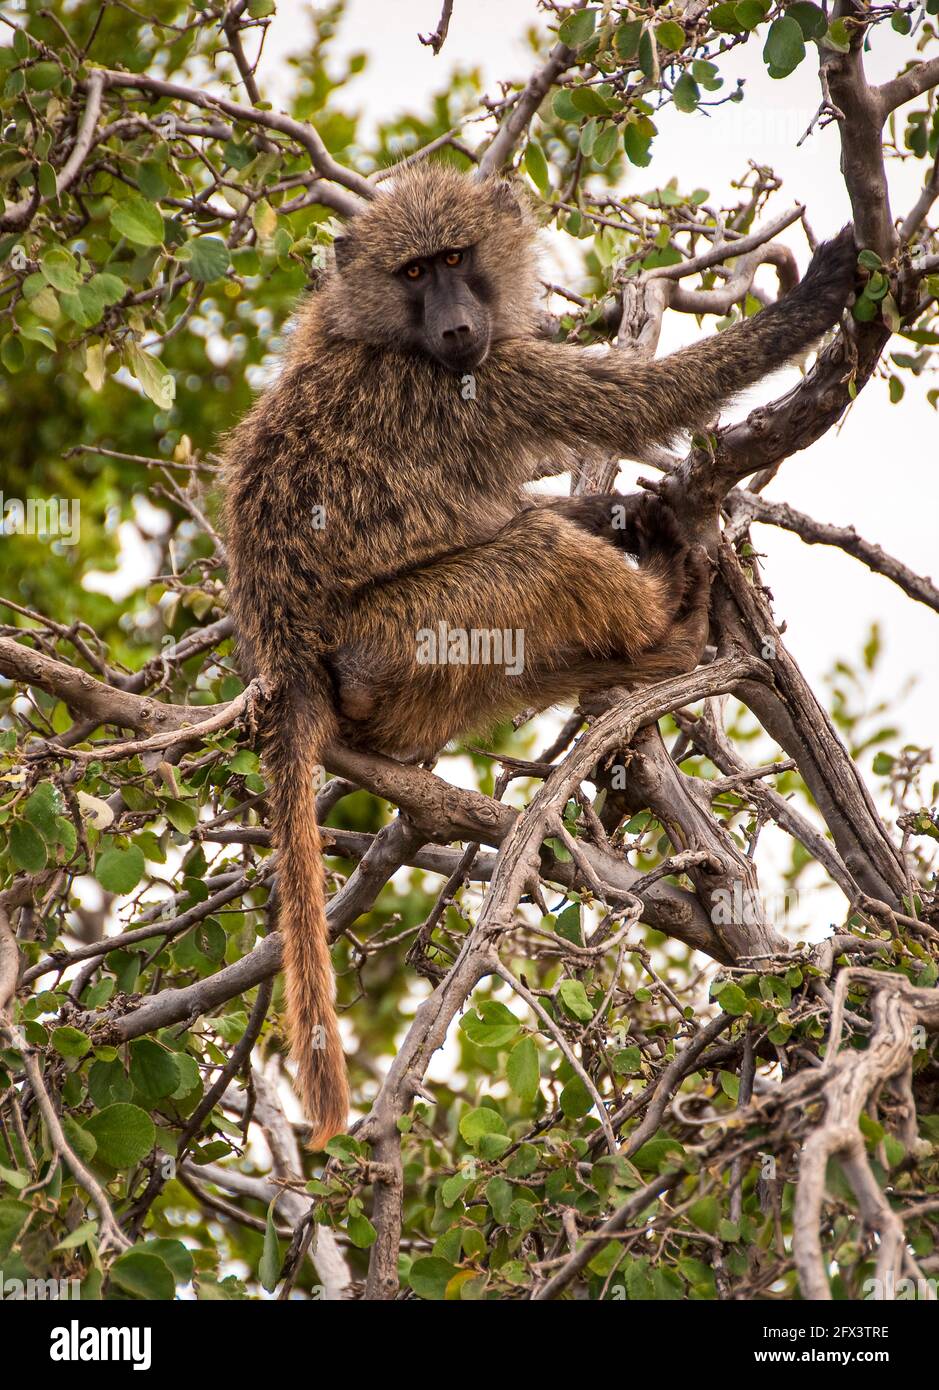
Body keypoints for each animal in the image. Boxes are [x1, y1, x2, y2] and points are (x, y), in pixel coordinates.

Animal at [222, 162, 856, 1147]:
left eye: (454, 259)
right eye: (414, 273)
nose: (455, 328)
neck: (378, 335)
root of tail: (286, 669)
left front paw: (619, 511)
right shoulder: (490, 383)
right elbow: (643, 402)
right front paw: (821, 291)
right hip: (404, 636)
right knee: (538, 553)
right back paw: (671, 624)